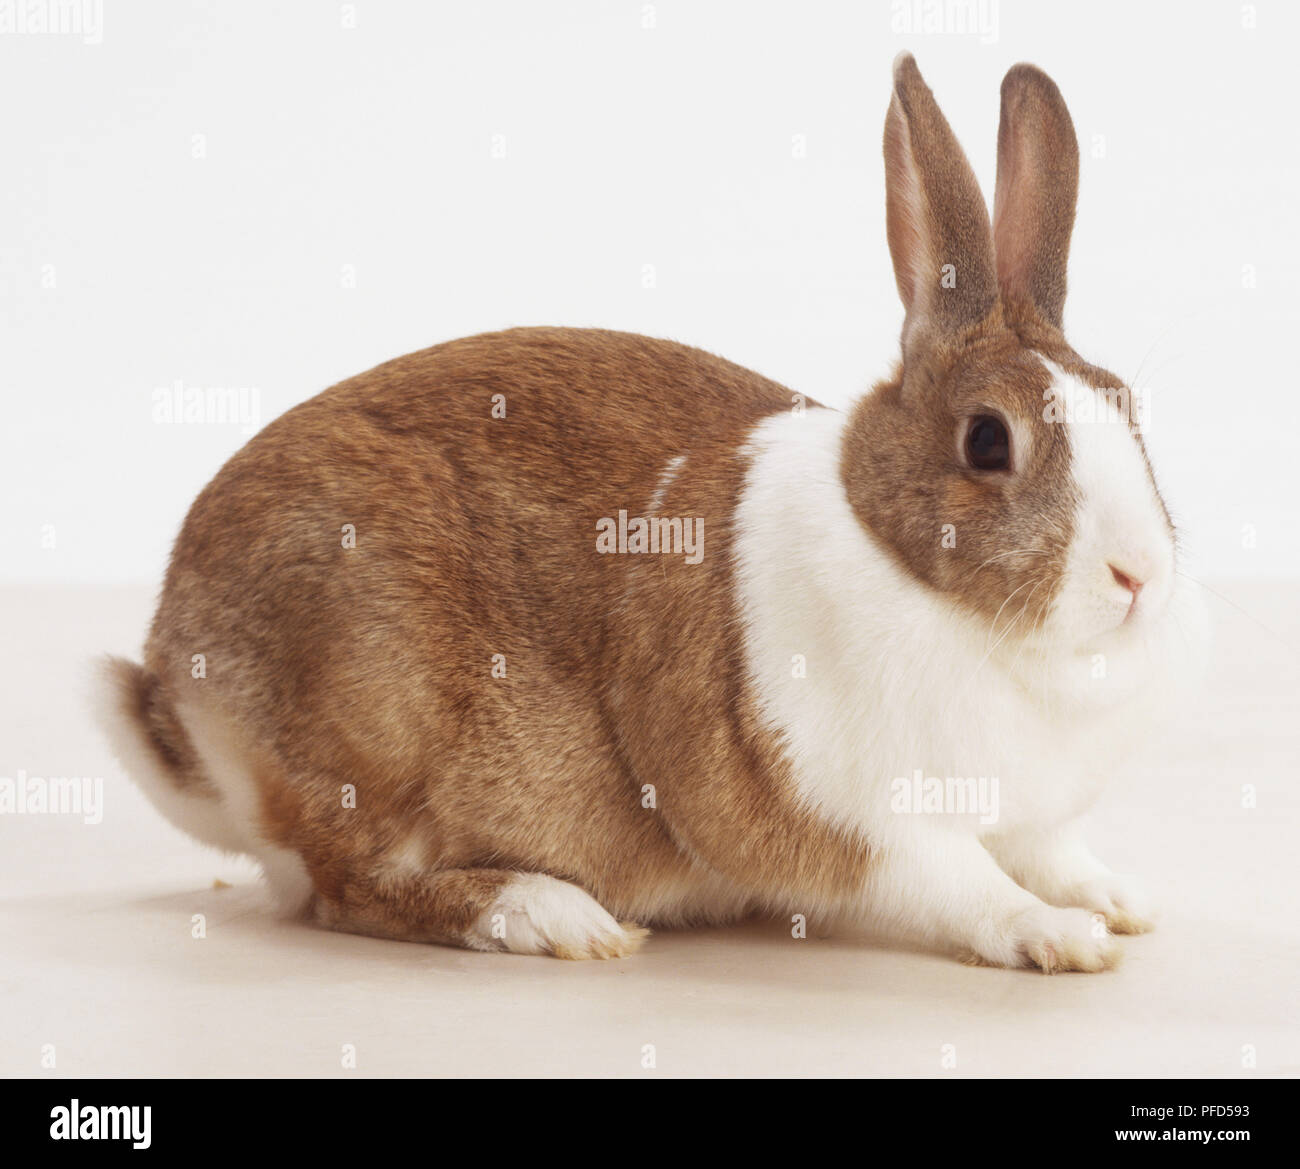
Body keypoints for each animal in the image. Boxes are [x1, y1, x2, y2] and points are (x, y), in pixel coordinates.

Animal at [96, 54, 1207, 971]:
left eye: (1126, 408)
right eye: (987, 440)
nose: (1139, 577)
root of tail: (182, 675)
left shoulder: (1034, 821)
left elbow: (1054, 852)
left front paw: (1122, 899)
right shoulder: (865, 819)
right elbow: (964, 885)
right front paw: (1060, 936)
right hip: (372, 709)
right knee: (350, 888)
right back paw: (549, 915)